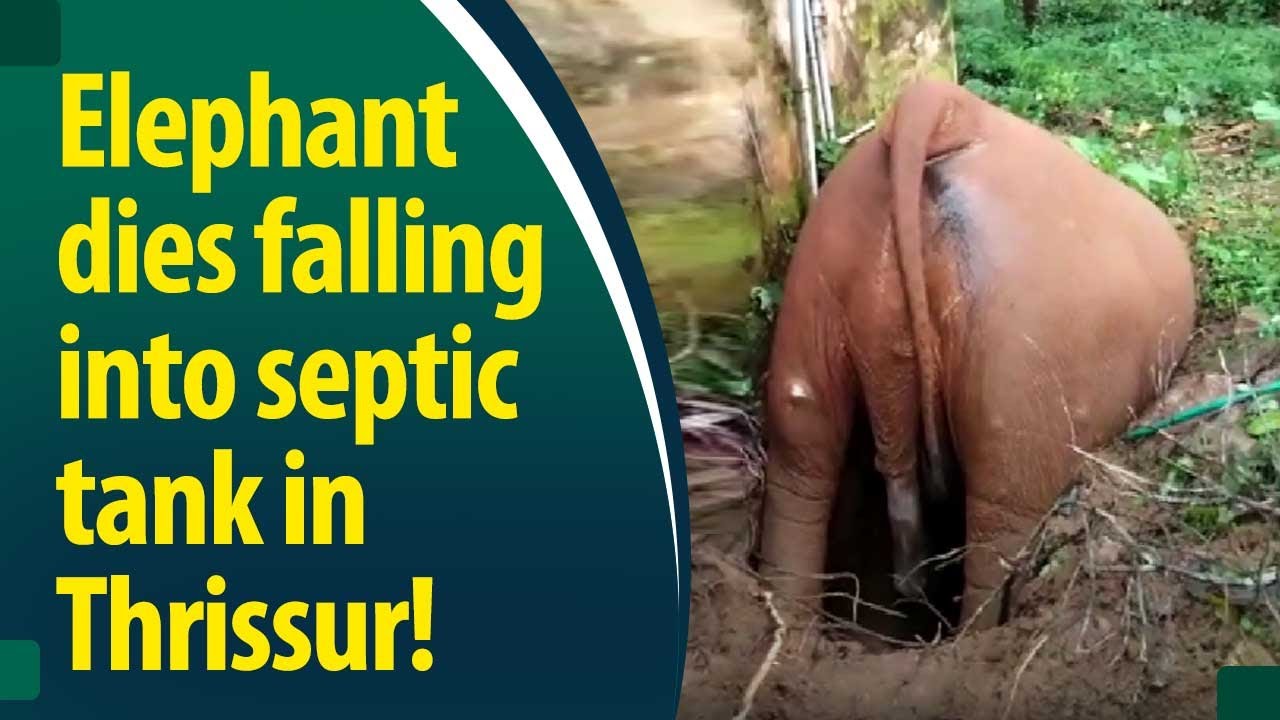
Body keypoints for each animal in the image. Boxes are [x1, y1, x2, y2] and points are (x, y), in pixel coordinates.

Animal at [758, 78, 1196, 629]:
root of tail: (934, 104)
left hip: (817, 284)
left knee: (801, 463)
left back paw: (793, 624)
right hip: (1025, 366)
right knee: (998, 525)